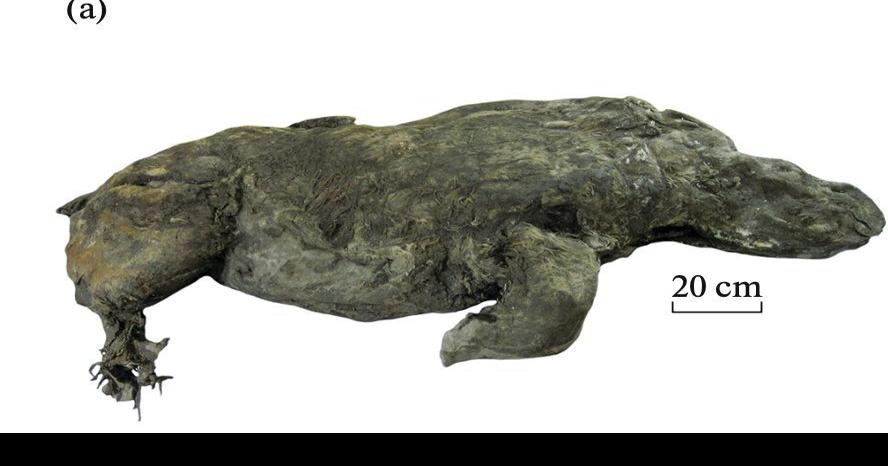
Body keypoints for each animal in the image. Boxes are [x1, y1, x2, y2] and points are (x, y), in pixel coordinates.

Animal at [58, 96, 884, 413]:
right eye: (736, 174)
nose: (867, 209)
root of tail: (89, 197)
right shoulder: (539, 229)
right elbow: (561, 306)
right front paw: (462, 342)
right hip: (182, 226)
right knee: (102, 296)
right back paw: (128, 365)